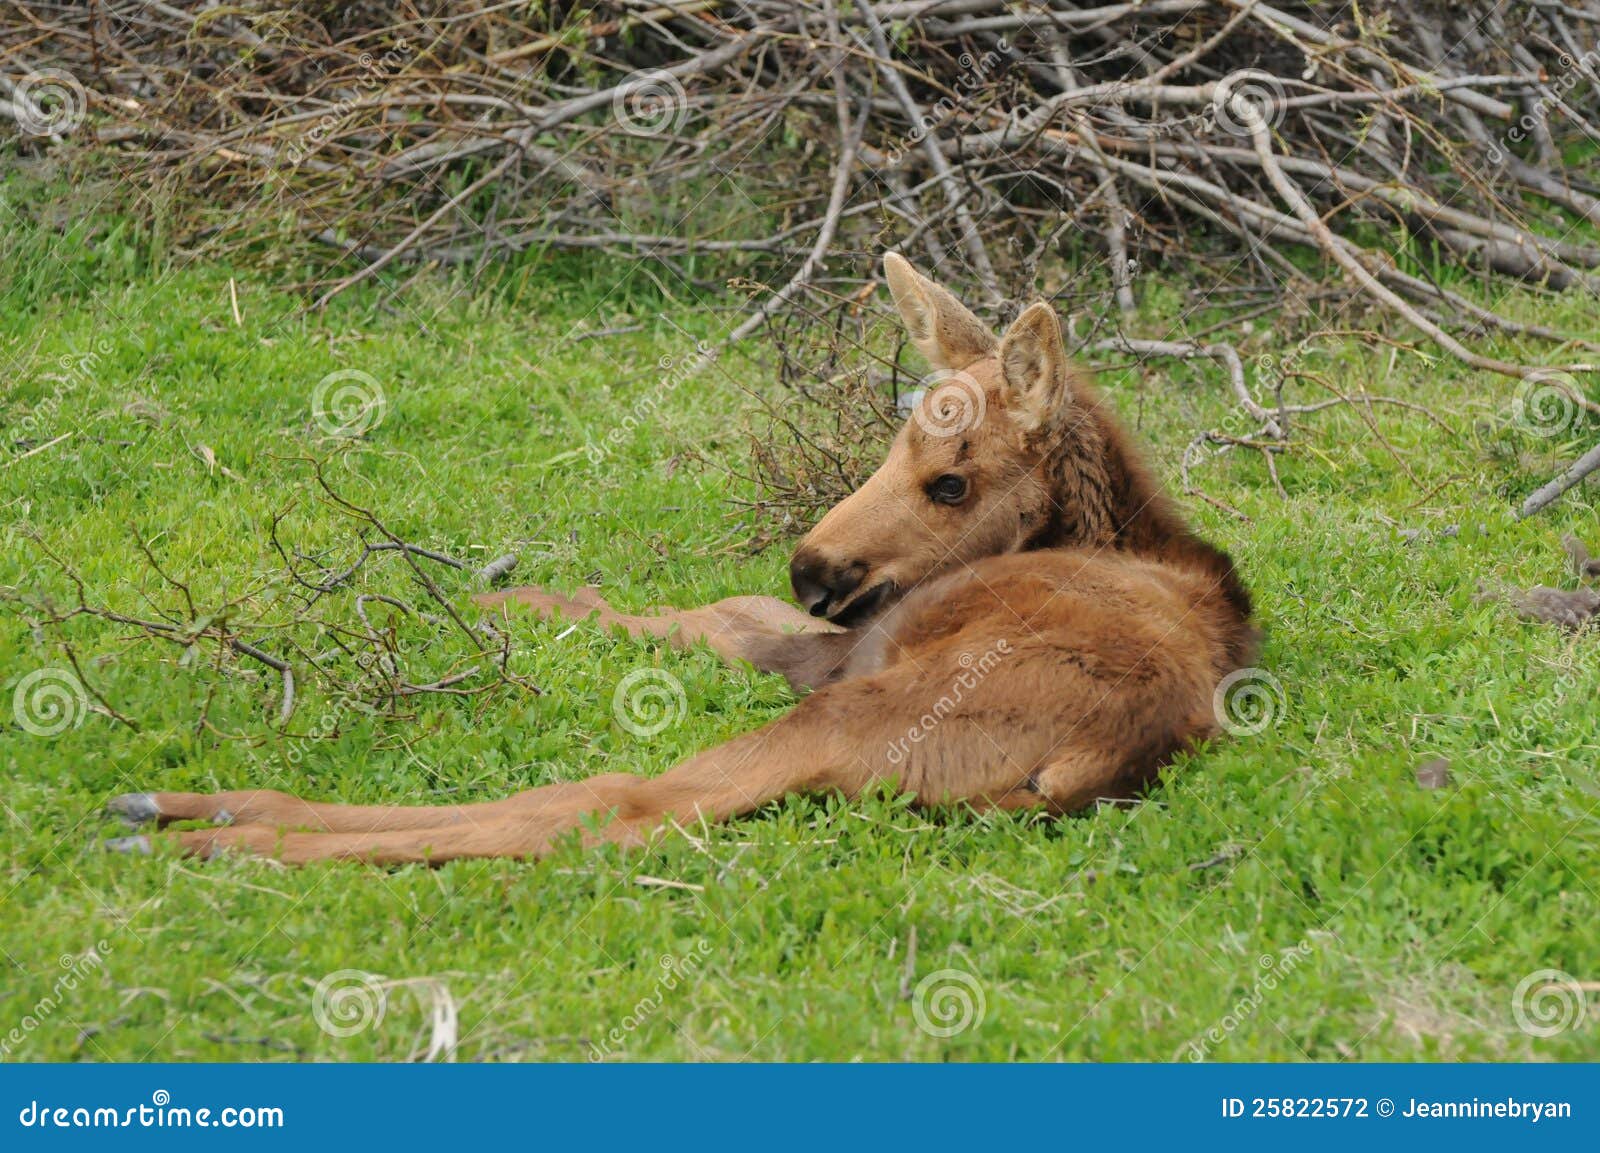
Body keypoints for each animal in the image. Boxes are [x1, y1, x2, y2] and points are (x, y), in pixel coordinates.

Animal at [105, 254, 1258, 866]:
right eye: (893, 443)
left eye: (950, 482)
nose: (815, 569)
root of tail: (1095, 761)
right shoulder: (833, 634)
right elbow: (719, 609)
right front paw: (518, 594)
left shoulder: (844, 651)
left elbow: (710, 617)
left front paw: (502, 601)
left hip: (854, 717)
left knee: (611, 803)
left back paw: (208, 827)